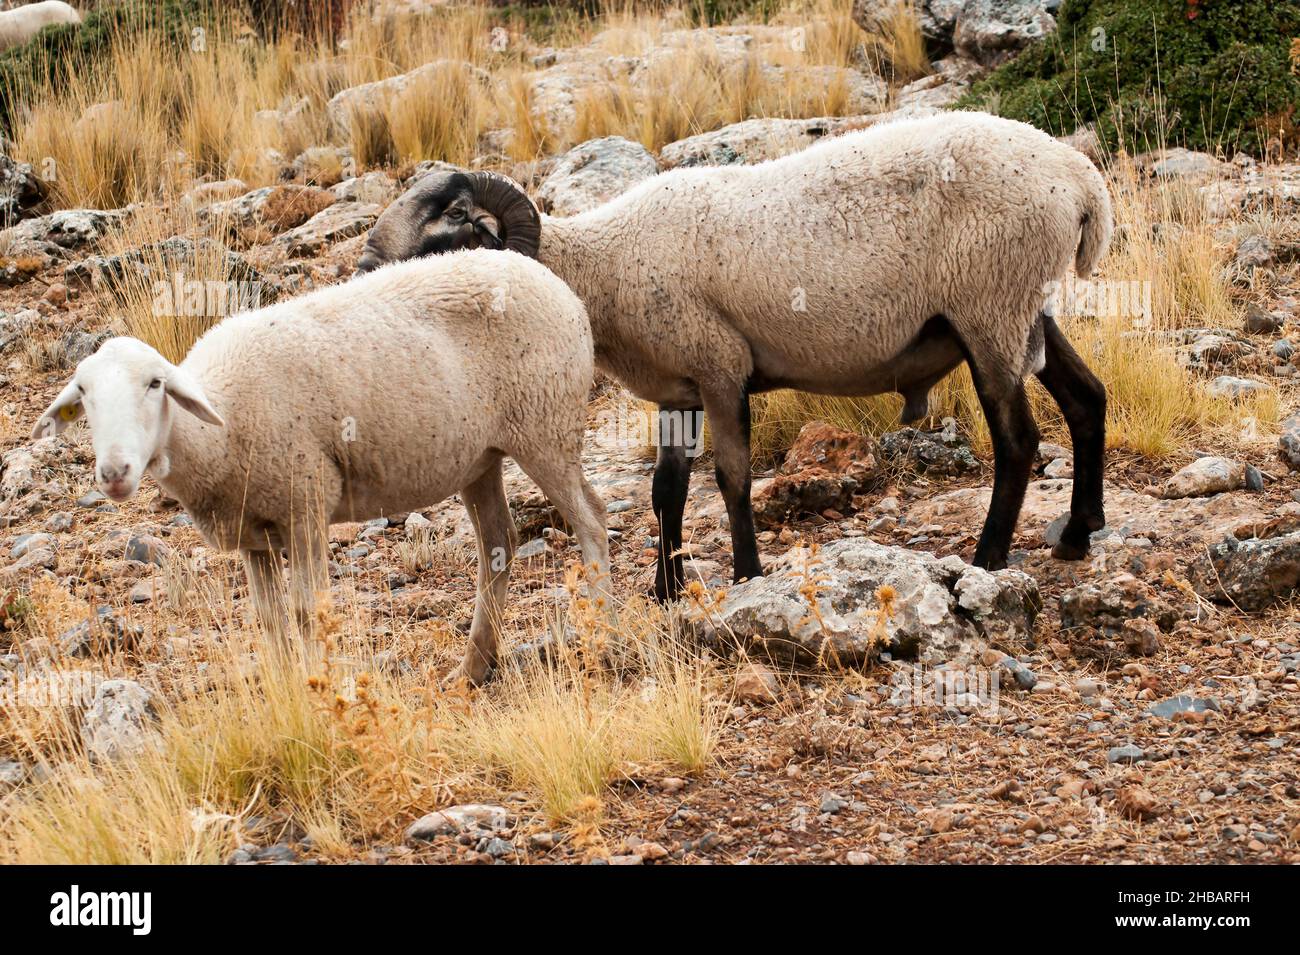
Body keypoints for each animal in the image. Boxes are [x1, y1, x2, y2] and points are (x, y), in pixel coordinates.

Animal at [32, 250, 612, 686]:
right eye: (82, 393)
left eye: (155, 383)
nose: (114, 472)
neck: (221, 426)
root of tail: (557, 284)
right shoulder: (253, 533)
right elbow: (269, 620)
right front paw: (288, 694)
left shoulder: (304, 504)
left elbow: (308, 612)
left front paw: (318, 692)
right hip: (480, 458)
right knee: (499, 545)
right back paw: (473, 667)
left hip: (545, 427)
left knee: (592, 520)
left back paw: (600, 636)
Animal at [356, 111, 1113, 602]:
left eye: (451, 223)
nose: (362, 271)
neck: (601, 265)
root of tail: (1081, 180)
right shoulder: (677, 389)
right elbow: (666, 492)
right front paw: (666, 588)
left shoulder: (721, 367)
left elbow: (732, 478)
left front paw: (746, 571)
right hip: (1024, 309)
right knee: (1088, 398)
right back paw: (1079, 532)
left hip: (990, 309)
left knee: (1018, 440)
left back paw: (989, 556)